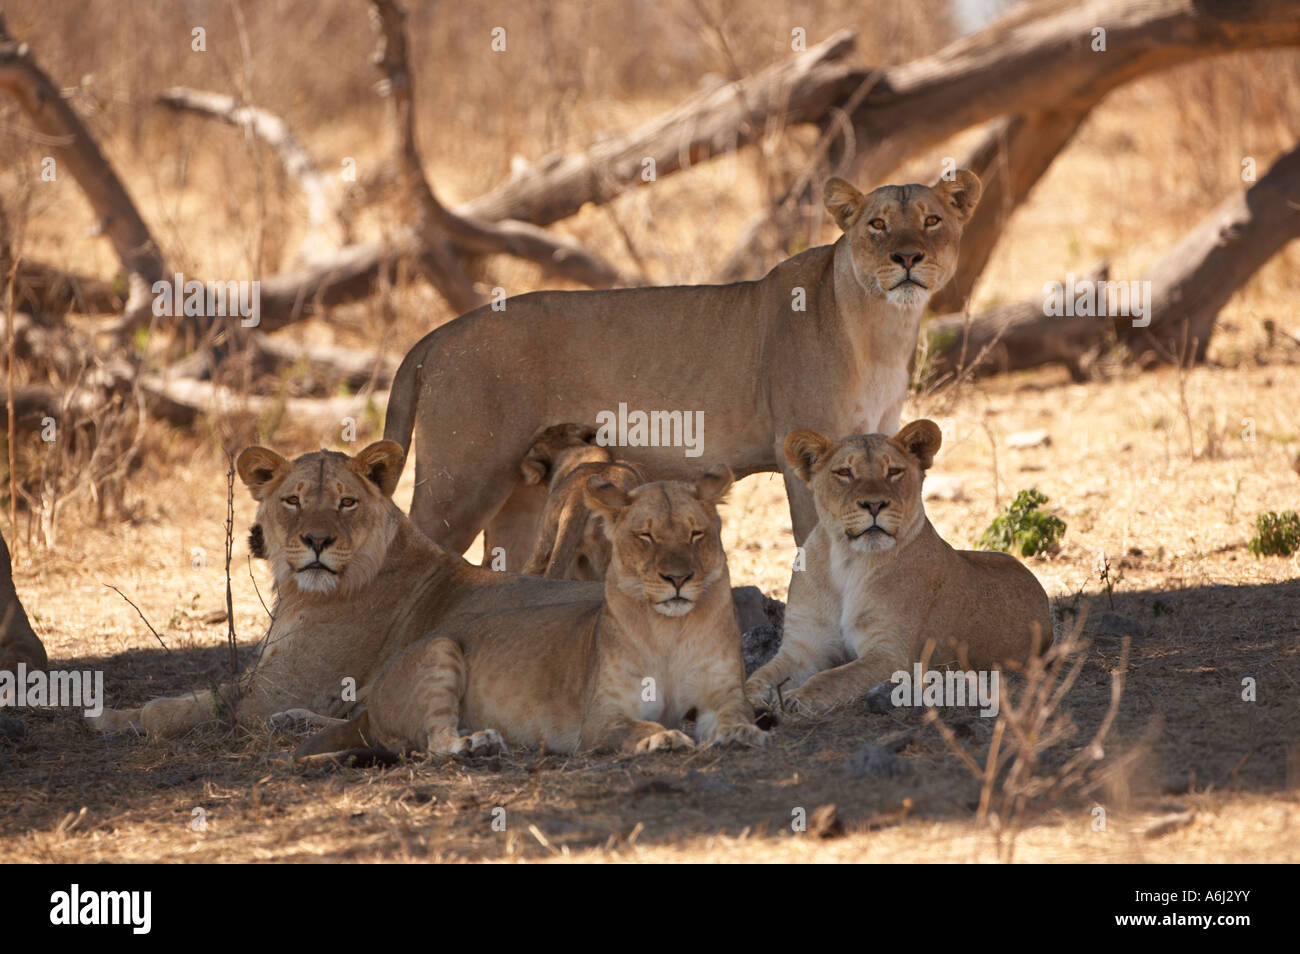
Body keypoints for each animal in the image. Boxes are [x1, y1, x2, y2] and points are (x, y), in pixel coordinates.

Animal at [88, 441, 604, 738]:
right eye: (292, 500)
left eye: (347, 502)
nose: (317, 541)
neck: (301, 594)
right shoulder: (269, 681)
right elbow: (187, 697)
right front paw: (108, 715)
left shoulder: (273, 691)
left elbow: (177, 708)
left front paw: (115, 719)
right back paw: (296, 722)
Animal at [299, 469, 766, 758]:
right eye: (645, 536)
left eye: (696, 534)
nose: (678, 578)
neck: (671, 630)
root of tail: (373, 696)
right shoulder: (602, 720)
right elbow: (639, 728)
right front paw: (666, 736)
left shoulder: (723, 694)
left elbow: (734, 715)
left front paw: (743, 733)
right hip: (442, 646)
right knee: (435, 742)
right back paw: (478, 743)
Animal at [746, 420, 1053, 716]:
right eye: (845, 472)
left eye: (893, 471)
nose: (874, 504)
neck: (847, 560)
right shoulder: (803, 646)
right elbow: (760, 676)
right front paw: (744, 704)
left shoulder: (892, 654)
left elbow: (834, 677)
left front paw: (797, 699)